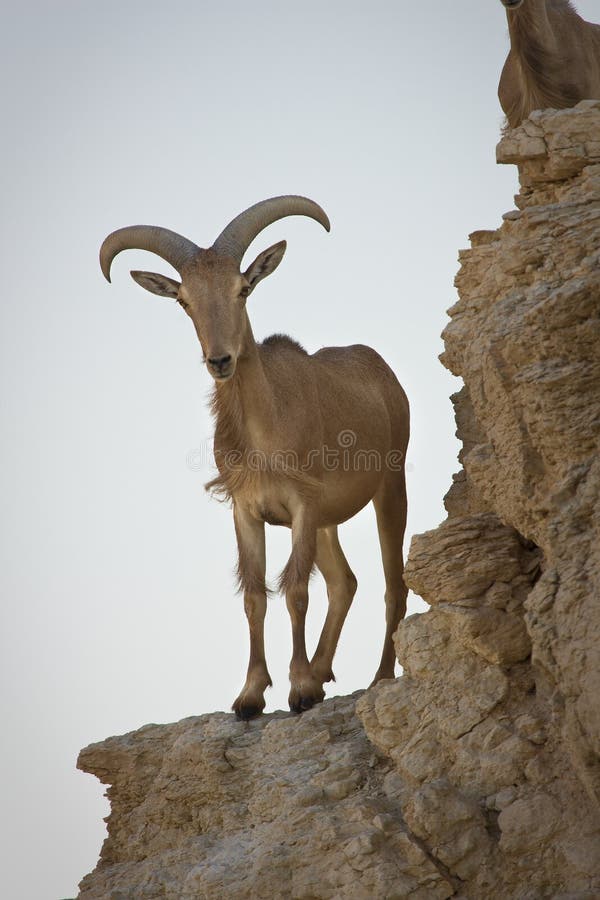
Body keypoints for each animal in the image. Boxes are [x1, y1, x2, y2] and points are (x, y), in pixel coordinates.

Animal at [100, 196, 409, 719]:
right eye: (184, 301)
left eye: (243, 289)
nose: (220, 360)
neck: (265, 430)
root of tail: (383, 371)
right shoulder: (248, 511)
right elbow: (254, 595)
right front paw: (251, 694)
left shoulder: (303, 506)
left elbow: (296, 590)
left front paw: (299, 688)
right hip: (329, 521)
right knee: (344, 582)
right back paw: (324, 673)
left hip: (391, 487)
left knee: (394, 584)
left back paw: (379, 677)